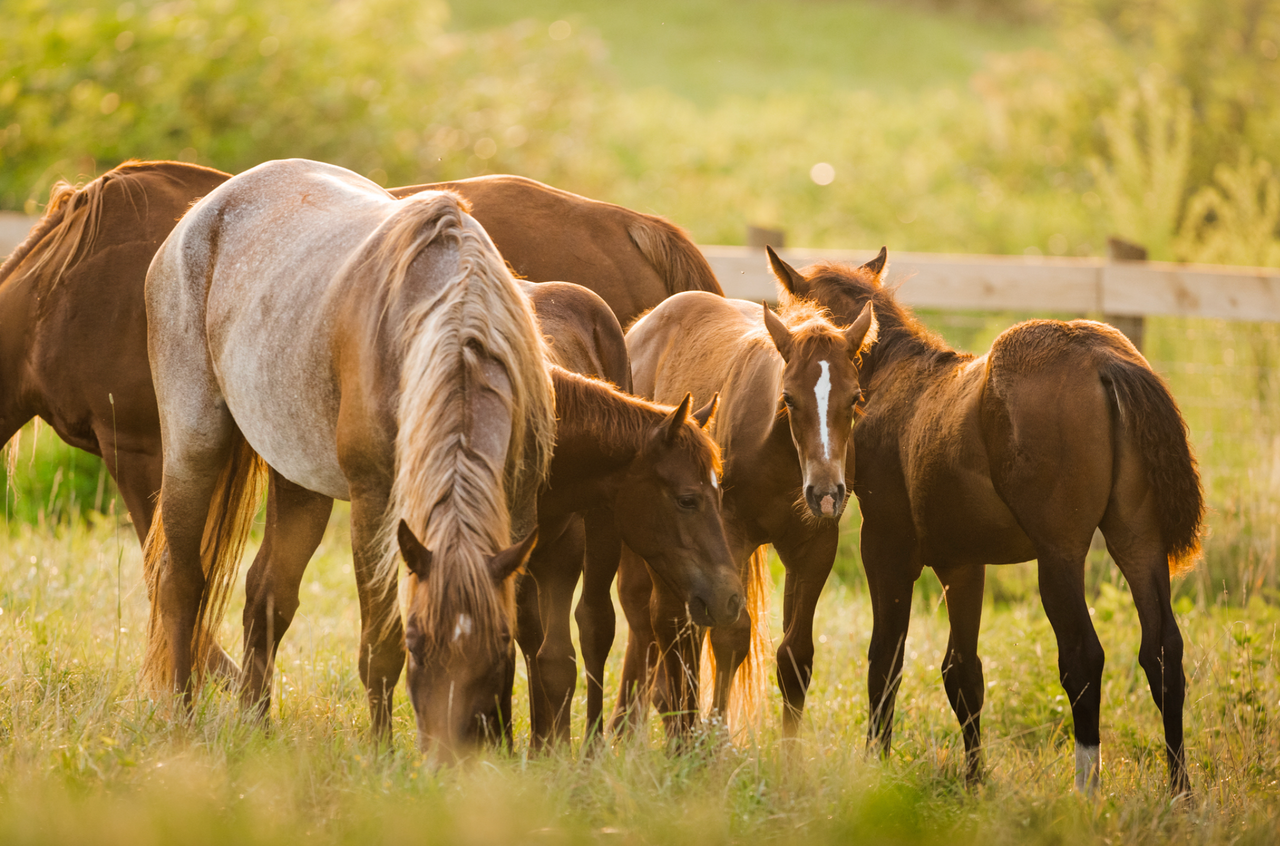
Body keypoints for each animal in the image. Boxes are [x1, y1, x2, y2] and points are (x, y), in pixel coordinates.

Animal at [141, 158, 557, 759]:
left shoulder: (519, 509)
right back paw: (182, 719)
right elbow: (378, 647)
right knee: (181, 584)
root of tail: (202, 212)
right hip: (194, 448)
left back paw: (256, 725)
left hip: (300, 481)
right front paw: (382, 754)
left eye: (495, 642)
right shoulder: (375, 505)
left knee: (266, 595)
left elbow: (528, 633)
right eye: (419, 641)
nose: (452, 756)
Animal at [613, 279, 876, 738]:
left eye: (855, 397)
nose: (826, 493)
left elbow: (795, 656)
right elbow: (729, 636)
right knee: (661, 620)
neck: (779, 453)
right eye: (789, 398)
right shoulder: (728, 537)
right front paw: (714, 740)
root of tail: (642, 326)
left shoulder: (814, 549)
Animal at [769, 246, 1203, 795]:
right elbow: (963, 673)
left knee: (1083, 657)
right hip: (1138, 542)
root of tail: (1104, 357)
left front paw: (874, 769)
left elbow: (885, 661)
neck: (892, 383)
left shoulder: (886, 549)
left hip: (1060, 558)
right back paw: (1179, 791)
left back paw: (1086, 791)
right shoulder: (962, 564)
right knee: (1162, 651)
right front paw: (974, 781)